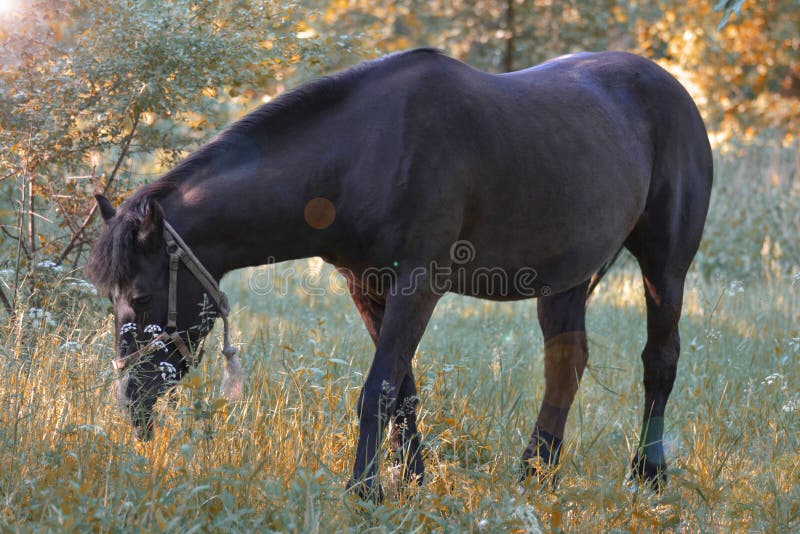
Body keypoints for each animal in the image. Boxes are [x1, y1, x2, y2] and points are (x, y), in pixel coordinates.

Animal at [86, 48, 713, 501]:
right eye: (111, 296)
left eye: (141, 295)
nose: (131, 404)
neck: (368, 153)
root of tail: (673, 88)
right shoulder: (367, 287)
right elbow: (403, 391)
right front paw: (409, 481)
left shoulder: (419, 286)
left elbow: (379, 388)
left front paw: (364, 492)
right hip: (564, 279)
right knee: (566, 364)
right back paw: (537, 474)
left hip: (666, 266)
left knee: (659, 362)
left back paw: (647, 476)